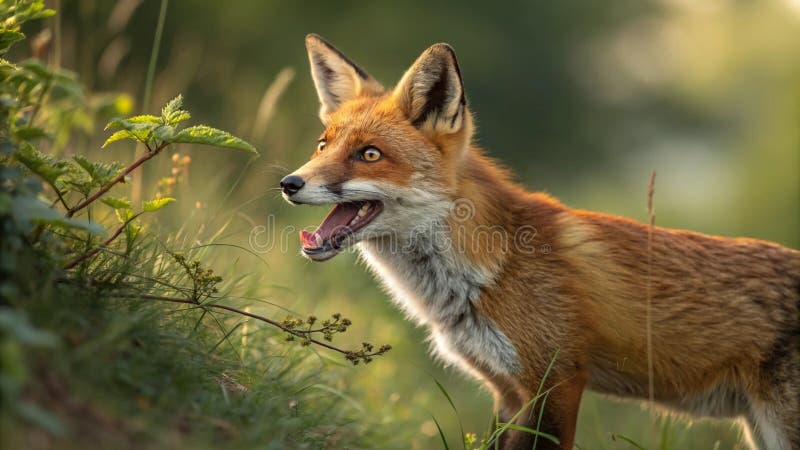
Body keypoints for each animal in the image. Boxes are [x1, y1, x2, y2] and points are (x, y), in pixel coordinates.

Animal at [280, 34, 800, 450]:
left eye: (369, 155)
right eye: (323, 145)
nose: (289, 183)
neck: (492, 267)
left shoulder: (558, 380)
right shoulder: (507, 390)